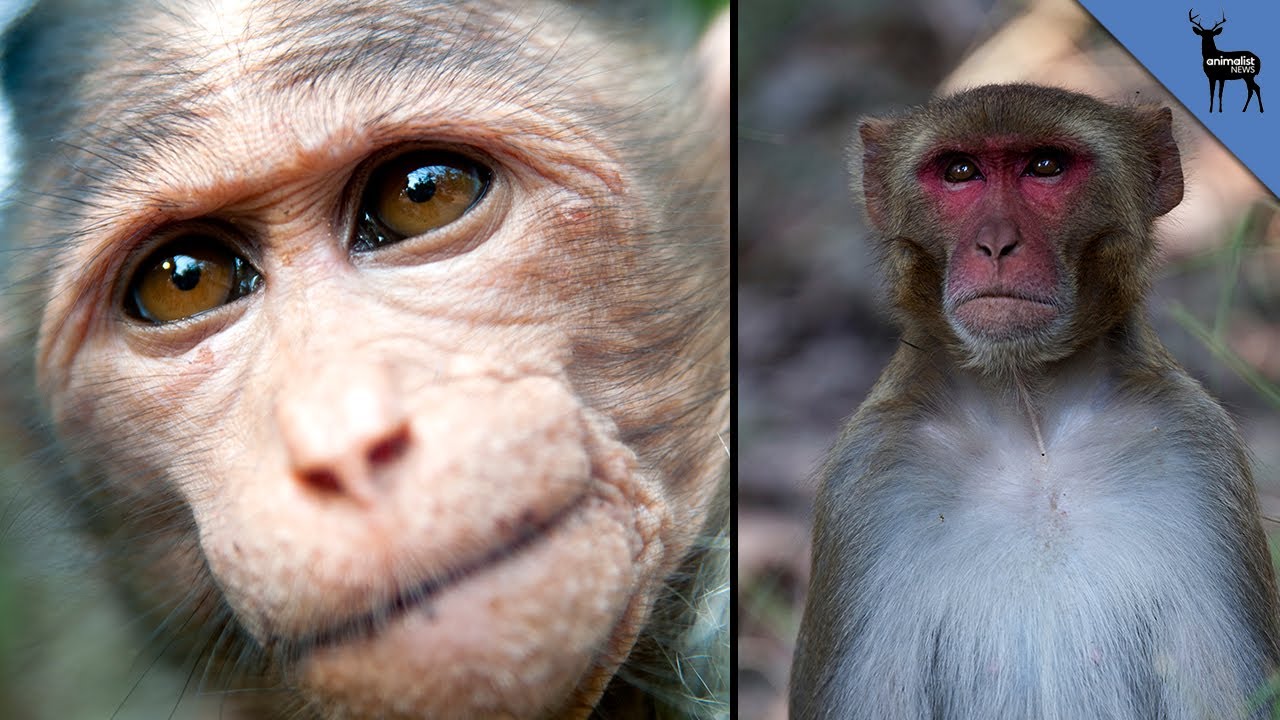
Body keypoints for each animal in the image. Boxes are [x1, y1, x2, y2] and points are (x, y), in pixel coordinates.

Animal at [789, 83, 1280, 719]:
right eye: (960, 171)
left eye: (1045, 166)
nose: (996, 244)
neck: (1031, 424)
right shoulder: (865, 482)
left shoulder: (1197, 447)